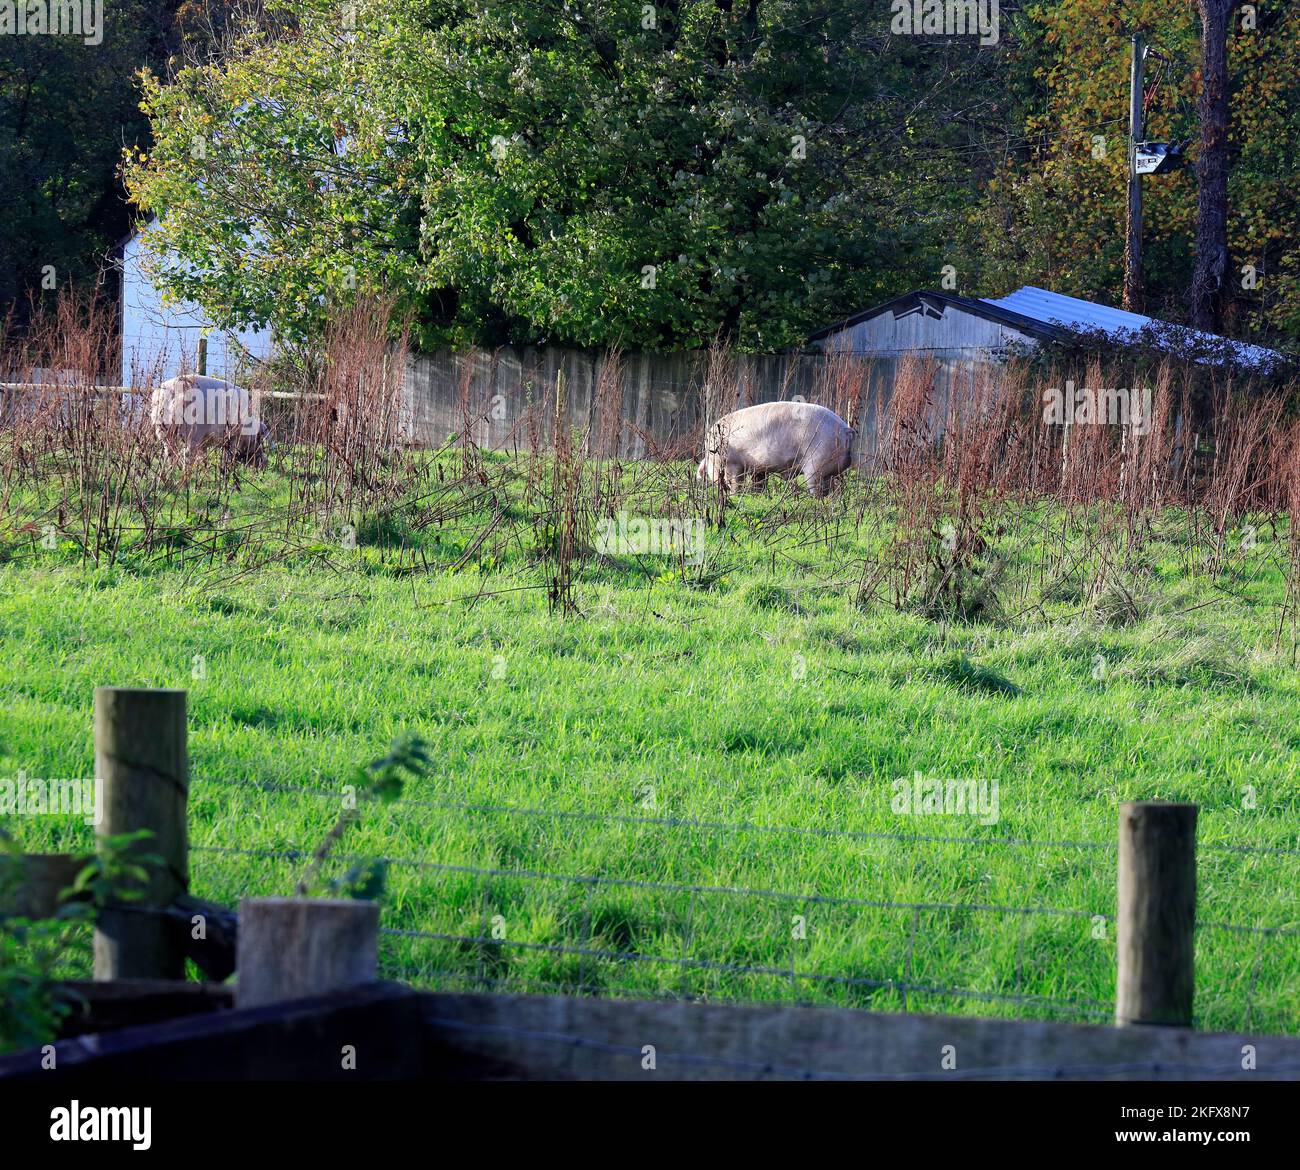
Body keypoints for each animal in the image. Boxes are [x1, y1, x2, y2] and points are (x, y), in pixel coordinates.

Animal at [697, 401, 854, 498]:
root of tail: (845, 429)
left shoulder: (732, 464)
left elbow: (736, 483)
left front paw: (733, 496)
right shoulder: (758, 468)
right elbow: (758, 484)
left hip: (816, 464)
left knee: (817, 490)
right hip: (828, 468)